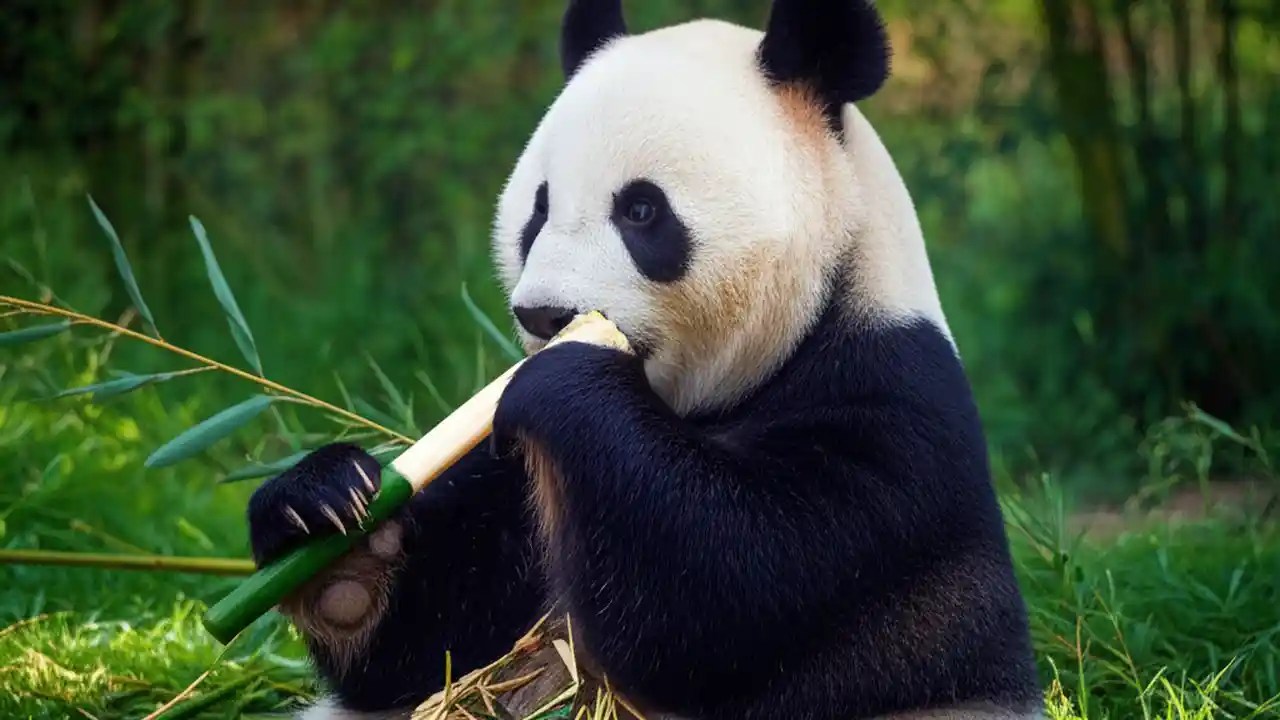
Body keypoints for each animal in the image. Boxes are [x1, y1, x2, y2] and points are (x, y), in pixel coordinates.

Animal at [246, 0, 1043, 718]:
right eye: (537, 210)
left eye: (640, 210)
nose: (543, 315)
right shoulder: (516, 477)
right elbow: (425, 641)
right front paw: (326, 517)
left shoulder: (892, 415)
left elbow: (721, 587)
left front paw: (566, 380)